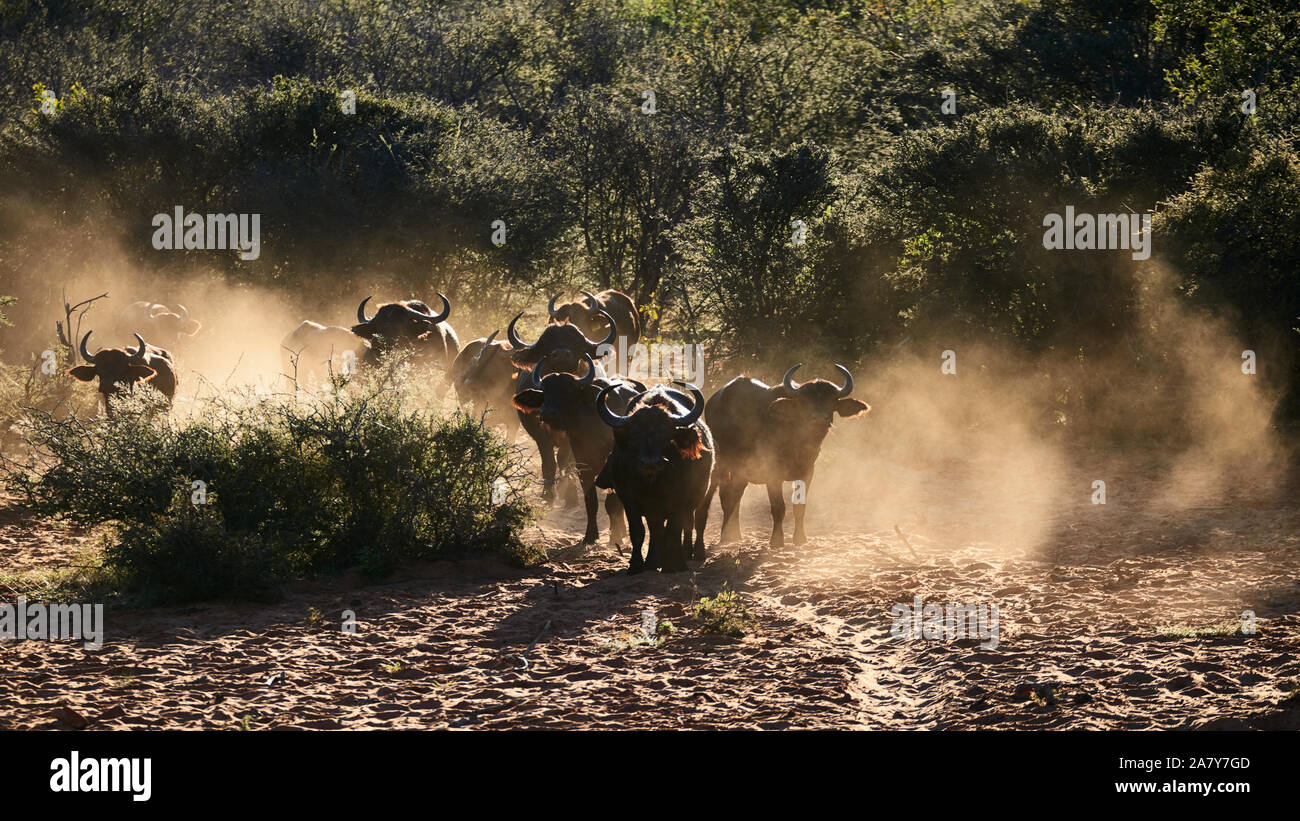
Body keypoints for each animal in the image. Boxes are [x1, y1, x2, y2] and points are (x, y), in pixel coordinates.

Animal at [512, 353, 644, 545]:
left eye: (568, 392)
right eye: (545, 393)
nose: (547, 413)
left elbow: (612, 503)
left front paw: (615, 536)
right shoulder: (583, 465)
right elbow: (591, 501)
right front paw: (590, 535)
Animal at [595, 381, 713, 573]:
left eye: (666, 434)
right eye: (635, 436)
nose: (650, 463)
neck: (653, 483)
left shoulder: (680, 501)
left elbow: (674, 529)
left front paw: (675, 565)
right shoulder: (630, 500)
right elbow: (639, 532)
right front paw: (636, 565)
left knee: (686, 525)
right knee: (656, 531)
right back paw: (653, 561)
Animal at [701, 364, 869, 549]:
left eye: (831, 401)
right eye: (804, 402)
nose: (819, 419)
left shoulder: (808, 472)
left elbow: (800, 506)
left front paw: (800, 538)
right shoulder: (772, 473)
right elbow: (778, 507)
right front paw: (776, 541)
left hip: (742, 471)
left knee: (734, 495)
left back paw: (735, 534)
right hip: (722, 465)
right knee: (722, 495)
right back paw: (725, 536)